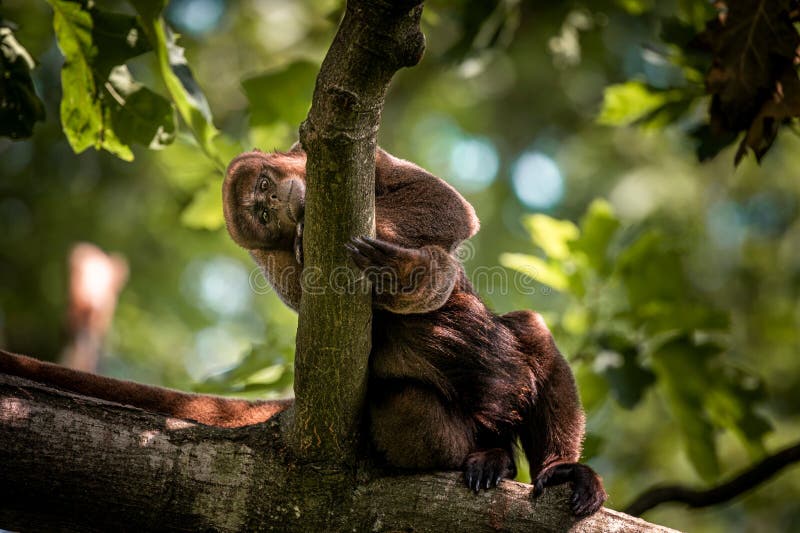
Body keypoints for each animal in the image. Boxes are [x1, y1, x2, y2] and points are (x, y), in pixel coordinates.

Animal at [0, 144, 607, 518]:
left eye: (267, 185)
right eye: (261, 213)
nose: (270, 199)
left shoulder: (330, 152)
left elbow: (449, 209)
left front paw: (398, 263)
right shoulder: (270, 258)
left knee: (528, 333)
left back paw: (560, 470)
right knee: (404, 405)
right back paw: (489, 455)